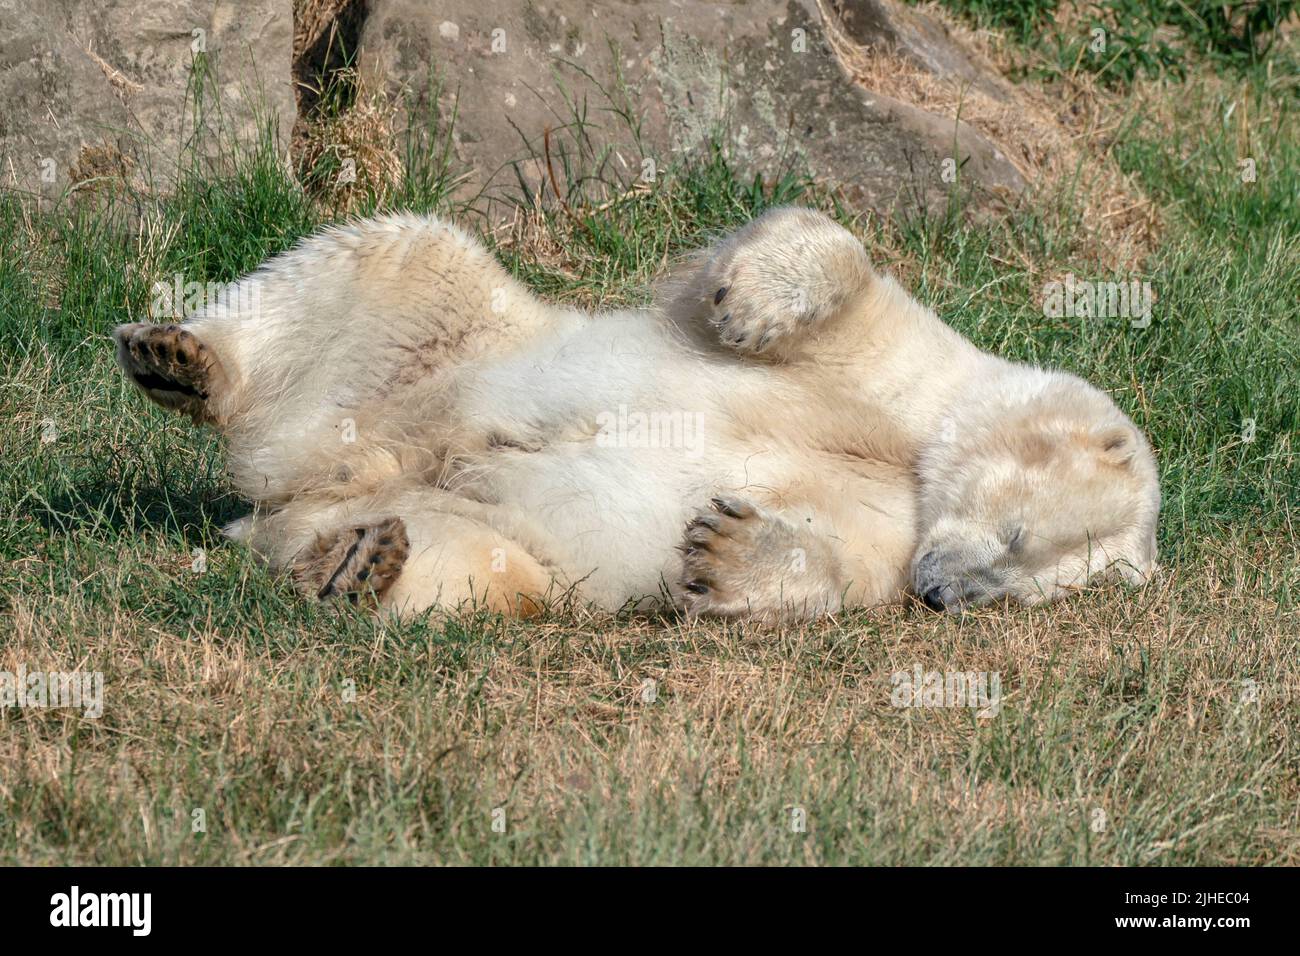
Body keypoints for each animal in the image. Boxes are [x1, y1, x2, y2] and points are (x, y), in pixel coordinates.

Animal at [113, 206, 1160, 620]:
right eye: (1019, 536)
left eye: (1024, 593)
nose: (943, 595)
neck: (912, 453)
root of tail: (292, 490)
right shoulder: (918, 364)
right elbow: (824, 269)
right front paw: (755, 300)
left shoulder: (885, 534)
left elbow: (829, 564)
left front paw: (727, 549)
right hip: (440, 345)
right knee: (399, 259)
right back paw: (182, 359)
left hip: (453, 520)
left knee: (478, 571)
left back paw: (354, 566)